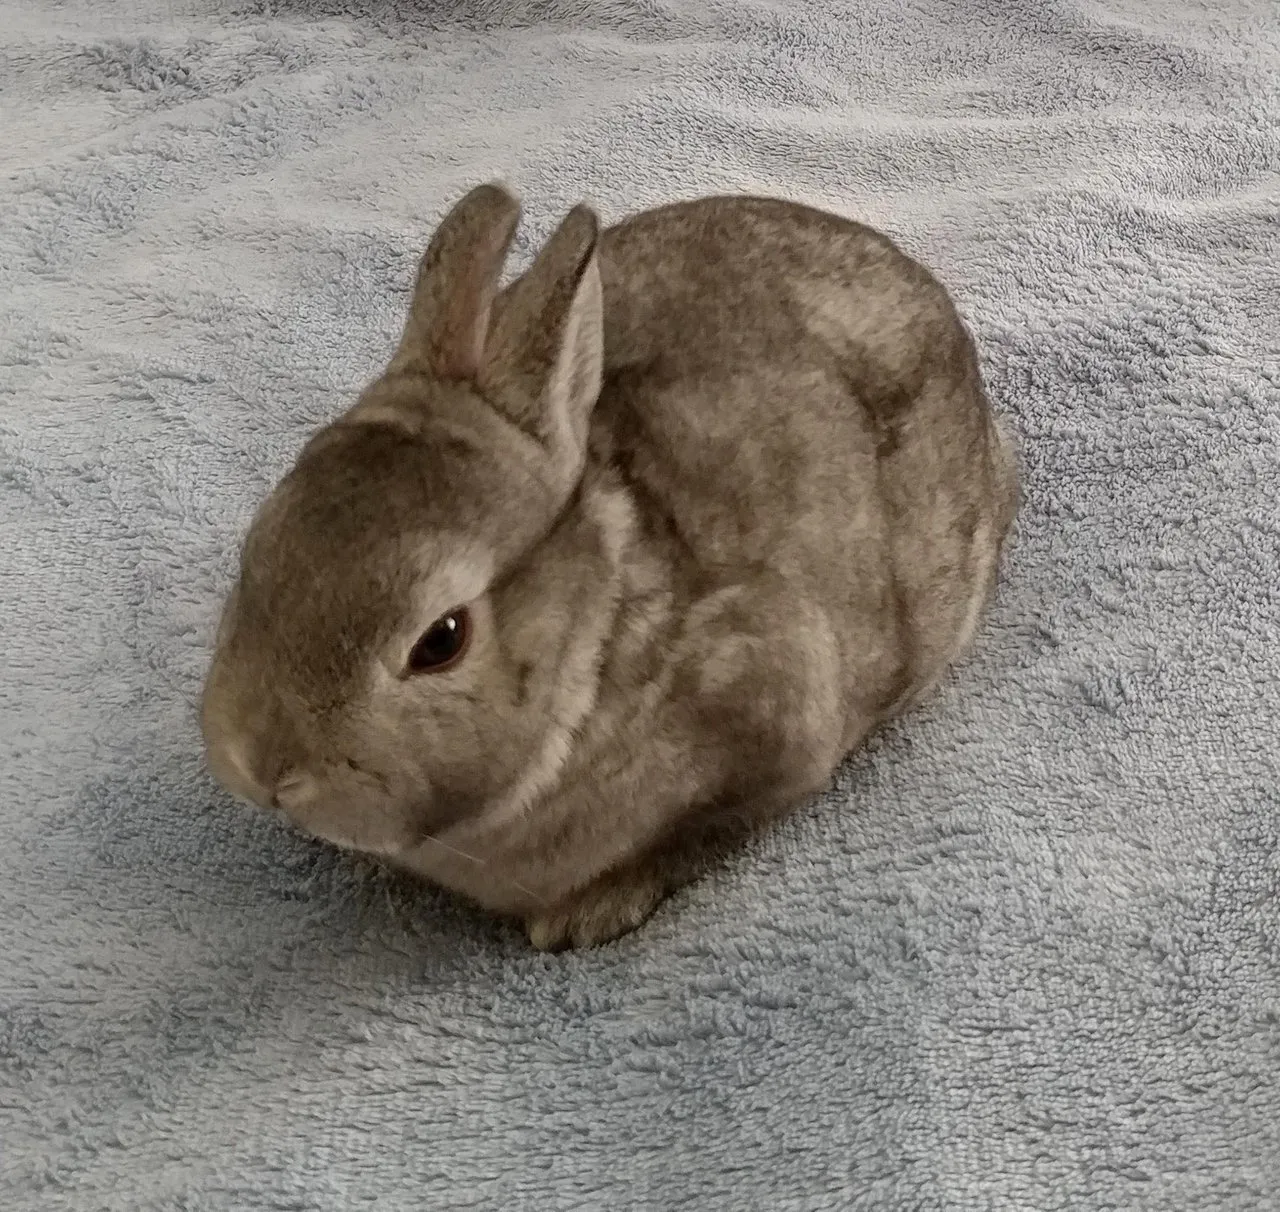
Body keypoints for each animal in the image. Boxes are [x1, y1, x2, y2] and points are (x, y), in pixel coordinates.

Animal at [201, 182, 1018, 951]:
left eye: (441, 640)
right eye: (261, 548)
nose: (265, 771)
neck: (591, 650)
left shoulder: (780, 711)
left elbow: (709, 831)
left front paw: (586, 915)